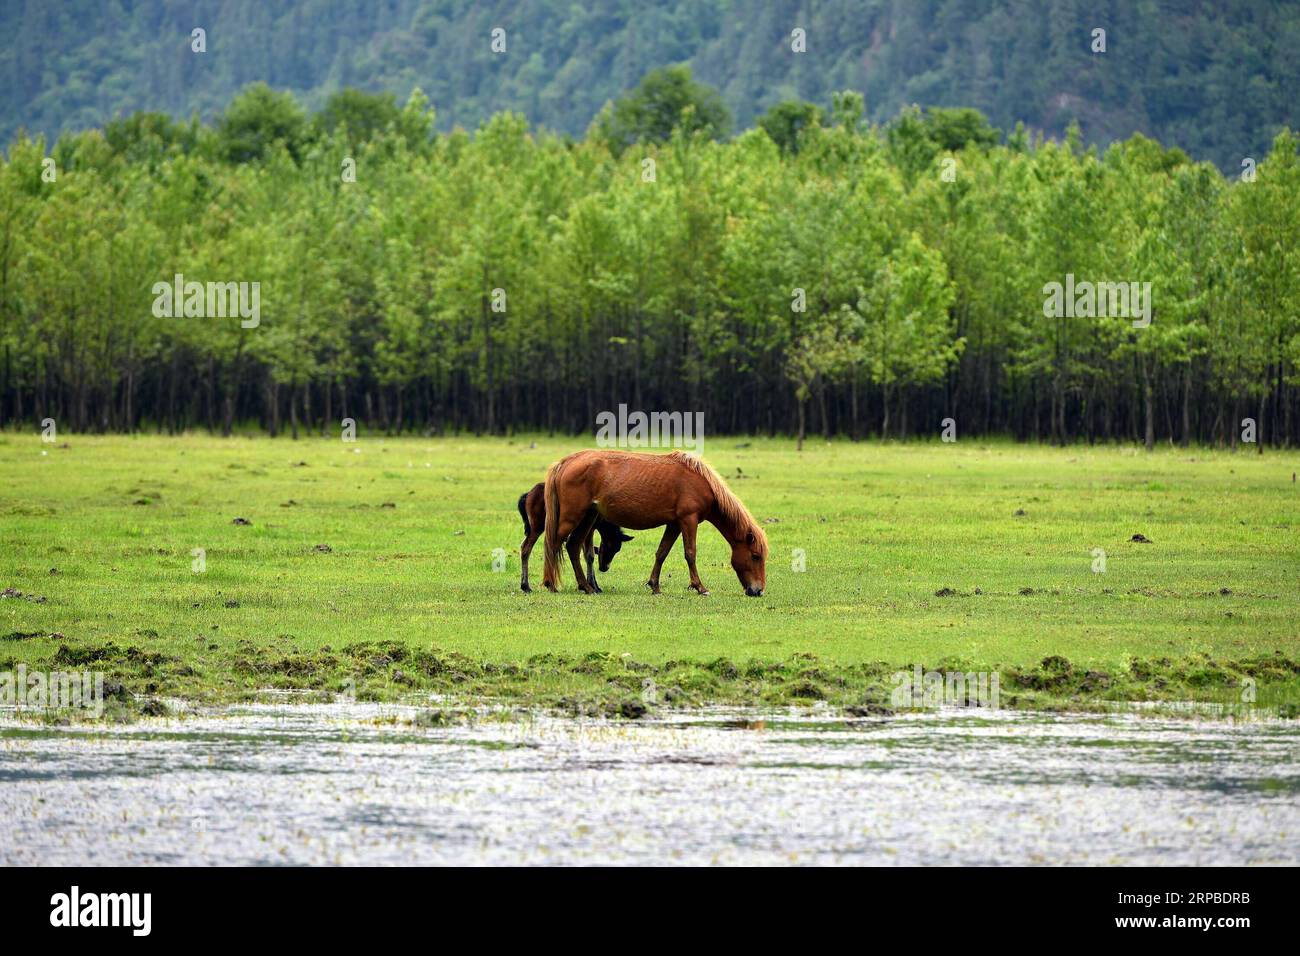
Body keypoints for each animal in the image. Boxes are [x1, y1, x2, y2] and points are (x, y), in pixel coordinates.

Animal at [542, 450, 767, 596]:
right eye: (755, 556)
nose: (758, 591)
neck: (701, 482)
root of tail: (565, 462)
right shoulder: (689, 520)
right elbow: (690, 553)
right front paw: (700, 587)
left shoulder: (674, 524)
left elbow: (662, 553)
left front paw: (654, 586)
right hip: (571, 518)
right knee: (553, 545)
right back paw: (551, 583)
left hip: (588, 518)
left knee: (572, 546)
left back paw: (586, 587)